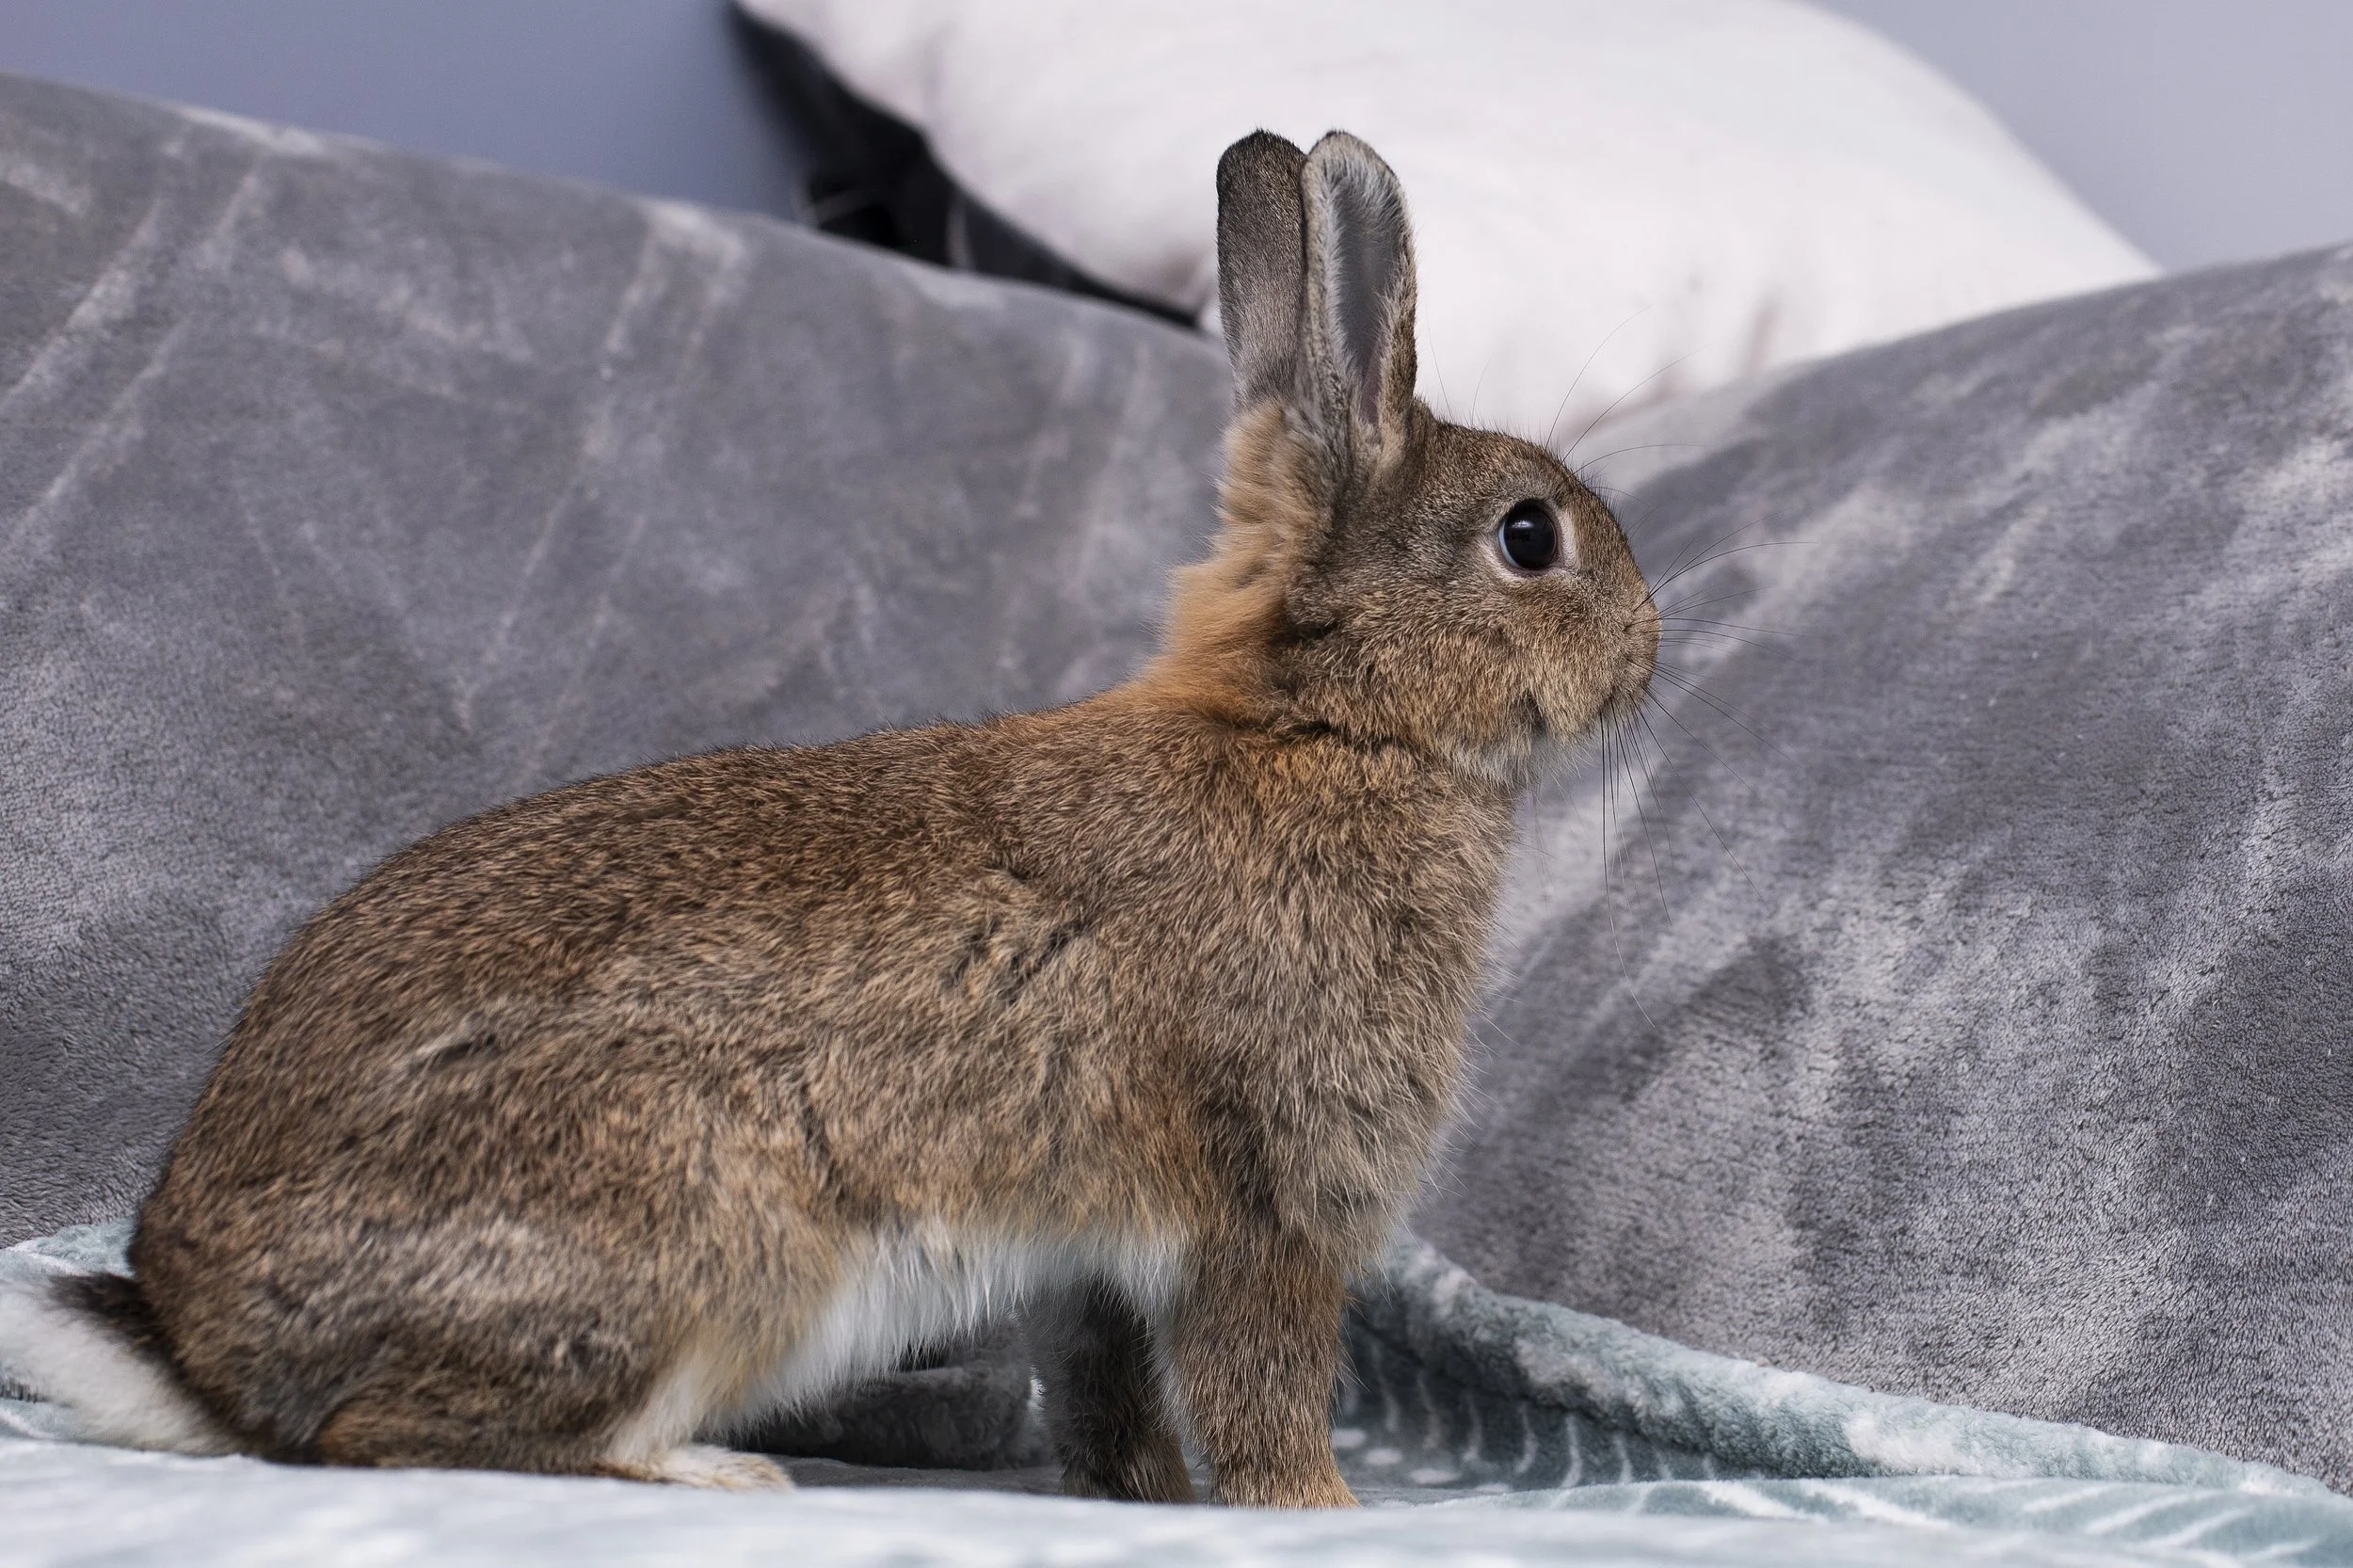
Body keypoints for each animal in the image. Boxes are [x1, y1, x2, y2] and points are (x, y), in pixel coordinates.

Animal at [2, 129, 1658, 1508]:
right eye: (1530, 537)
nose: (1653, 649)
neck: (1328, 725)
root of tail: (204, 1341)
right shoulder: (1275, 1200)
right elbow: (1261, 1387)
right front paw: (1319, 1510)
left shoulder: (1099, 1264)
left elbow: (1113, 1397)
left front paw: (1149, 1500)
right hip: (708, 1240)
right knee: (398, 1432)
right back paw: (717, 1471)